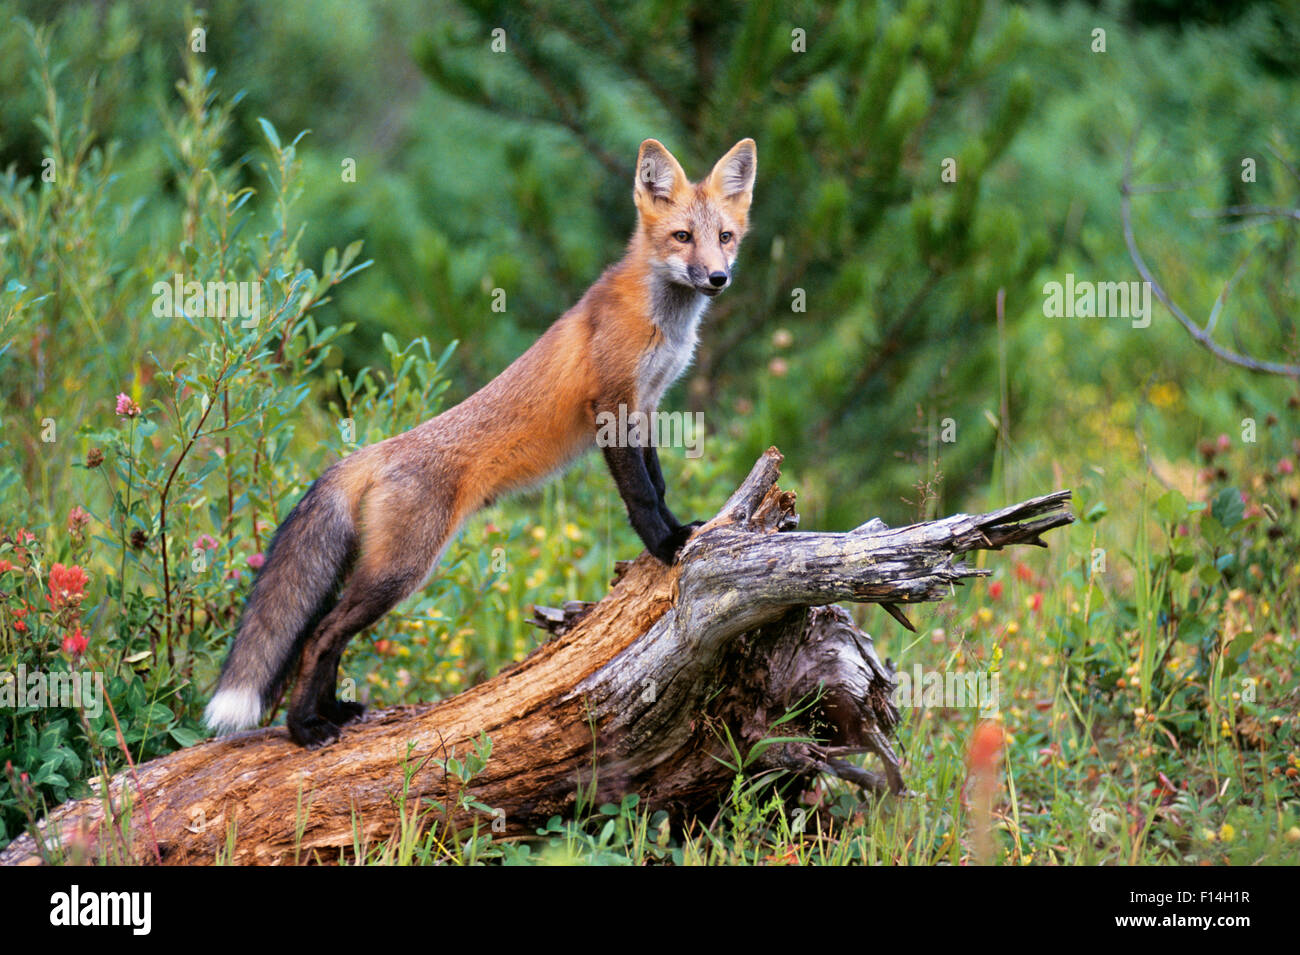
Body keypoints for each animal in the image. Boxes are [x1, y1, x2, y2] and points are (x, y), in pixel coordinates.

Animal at [205, 137, 758, 747]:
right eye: (682, 236)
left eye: (725, 236)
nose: (717, 278)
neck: (661, 320)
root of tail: (373, 451)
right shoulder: (612, 407)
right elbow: (639, 494)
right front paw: (665, 546)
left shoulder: (648, 406)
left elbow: (657, 483)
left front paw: (679, 529)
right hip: (400, 571)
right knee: (320, 634)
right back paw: (303, 727)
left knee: (328, 637)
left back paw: (333, 711)